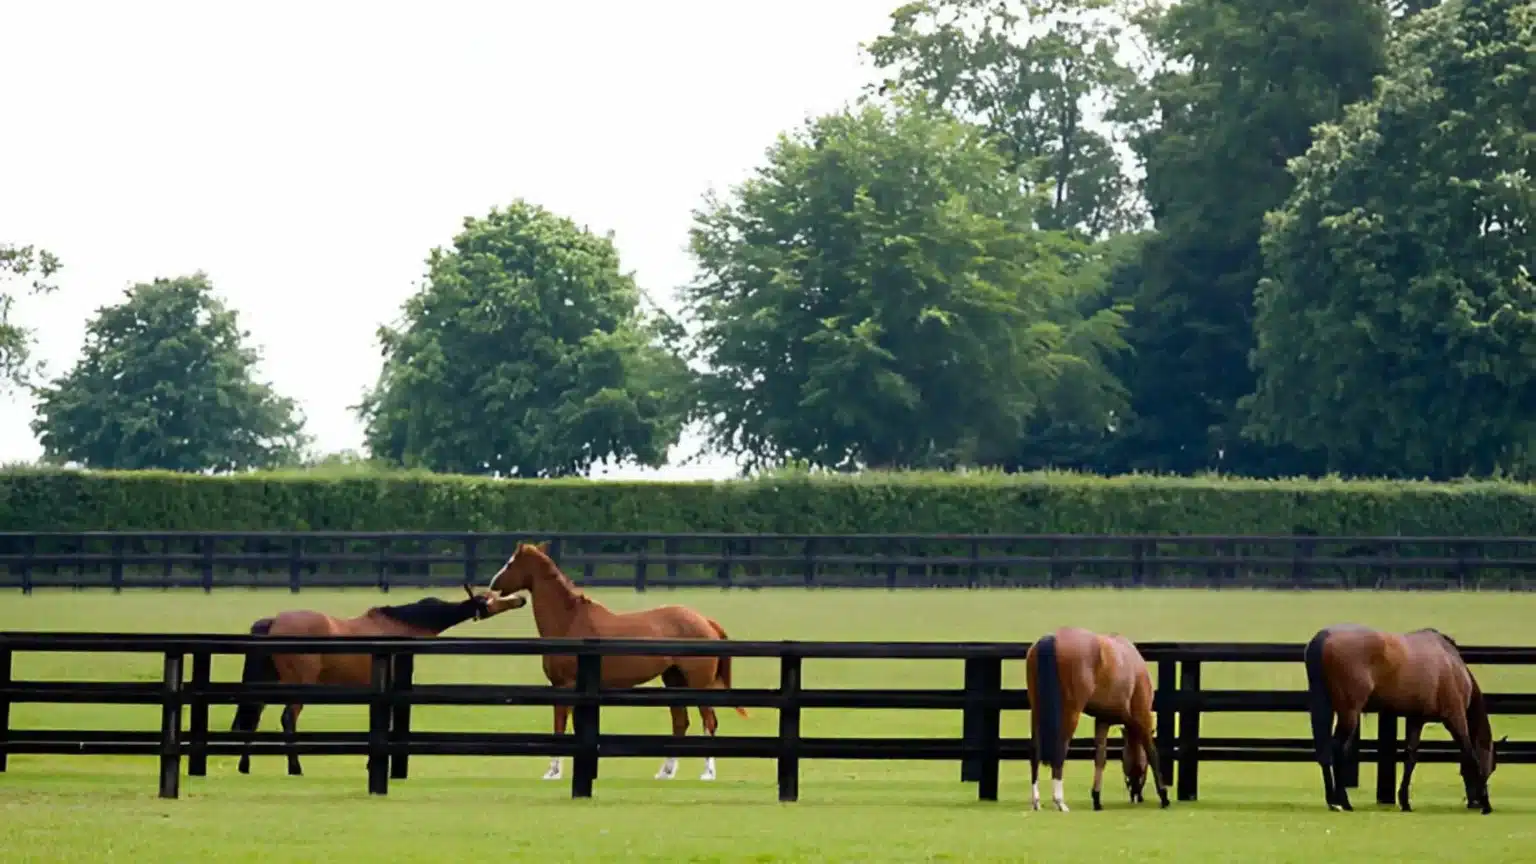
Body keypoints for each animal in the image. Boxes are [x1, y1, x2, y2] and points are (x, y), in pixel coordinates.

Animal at [231, 585, 525, 775]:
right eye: (495, 597)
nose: (521, 599)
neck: (399, 627)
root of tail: (273, 622)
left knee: (253, 717)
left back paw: (245, 766)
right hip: (298, 686)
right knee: (287, 719)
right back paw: (295, 767)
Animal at [485, 540, 748, 782]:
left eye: (511, 563)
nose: (492, 585)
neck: (570, 621)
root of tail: (705, 620)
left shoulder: (565, 686)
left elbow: (560, 727)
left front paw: (553, 772)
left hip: (697, 684)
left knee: (709, 722)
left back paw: (707, 773)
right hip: (674, 681)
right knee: (680, 723)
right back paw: (666, 772)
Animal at [1025, 626, 1170, 812]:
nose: (1135, 794)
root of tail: (1052, 638)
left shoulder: (1103, 720)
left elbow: (1100, 758)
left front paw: (1096, 798)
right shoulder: (1142, 717)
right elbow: (1152, 753)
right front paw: (1164, 796)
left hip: (1036, 710)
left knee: (1035, 751)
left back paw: (1036, 801)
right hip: (1070, 712)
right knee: (1060, 750)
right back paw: (1060, 801)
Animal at [1304, 624, 1503, 813]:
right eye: (1492, 767)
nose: (1474, 802)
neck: (1452, 665)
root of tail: (1324, 637)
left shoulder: (1416, 719)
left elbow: (1410, 758)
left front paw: (1405, 802)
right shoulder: (1455, 718)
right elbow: (1470, 754)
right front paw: (1486, 804)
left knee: (1324, 752)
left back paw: (1333, 801)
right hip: (1349, 713)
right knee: (1336, 749)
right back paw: (1342, 801)